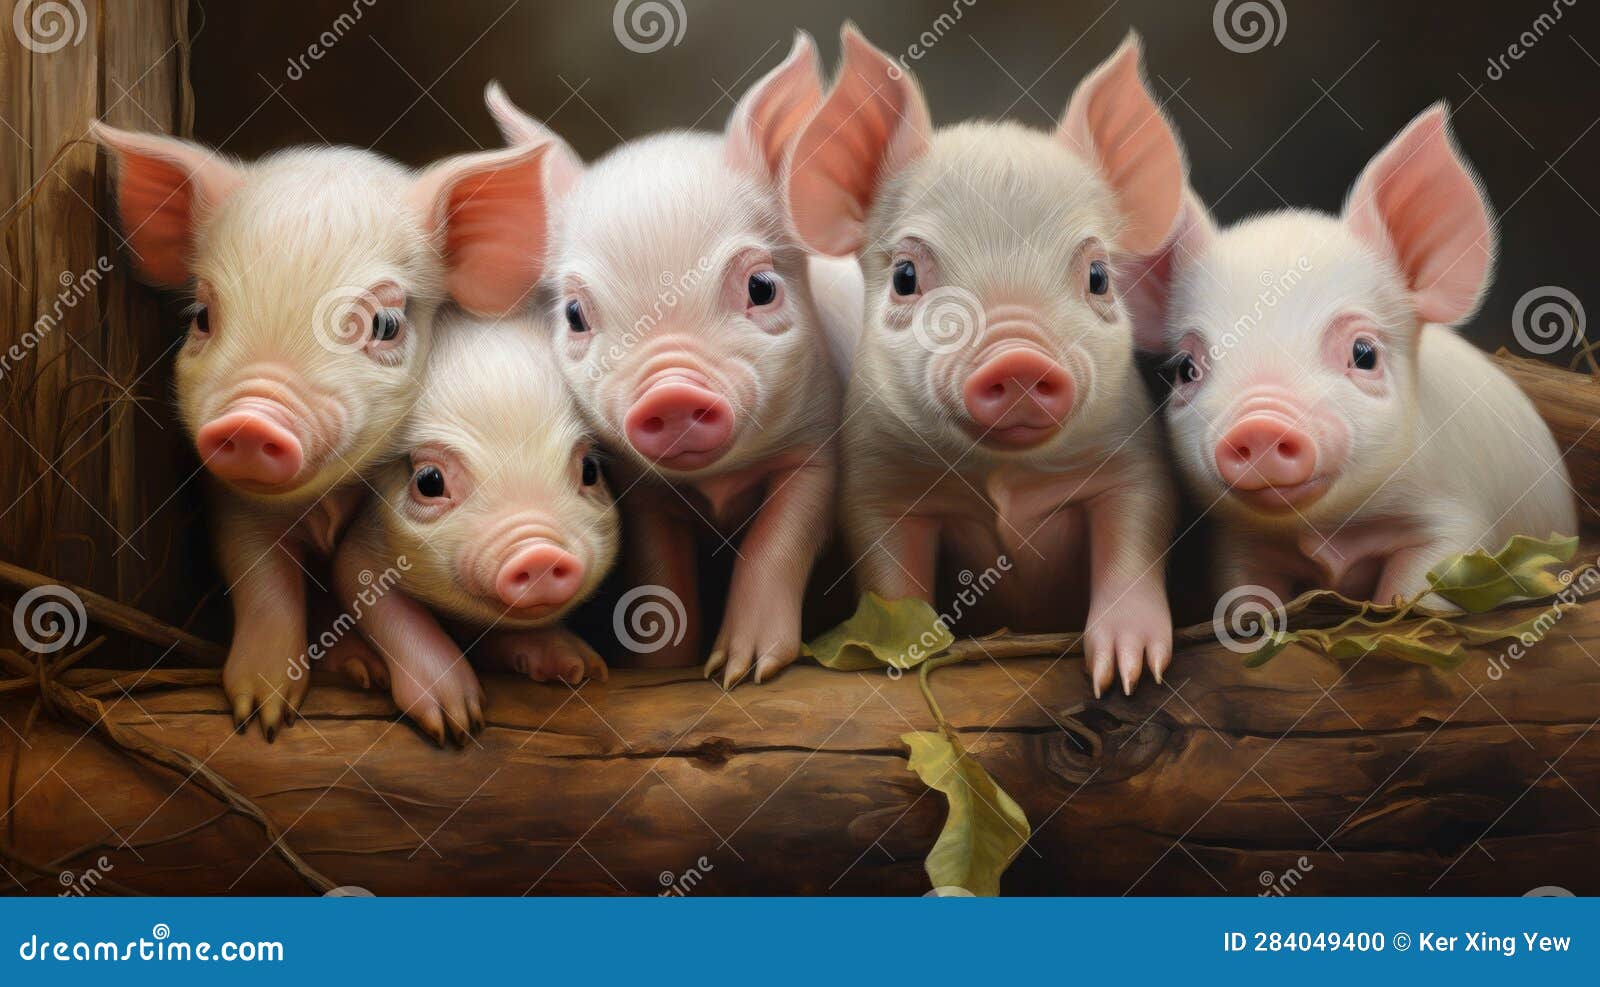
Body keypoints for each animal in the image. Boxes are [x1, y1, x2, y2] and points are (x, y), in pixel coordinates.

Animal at [91, 122, 573, 737]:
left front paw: (461, 725)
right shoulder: (234, 504)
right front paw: (263, 717)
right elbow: (260, 577)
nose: (252, 418)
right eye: (201, 316)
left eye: (385, 324)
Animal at [332, 312, 619, 744]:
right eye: (429, 481)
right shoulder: (362, 545)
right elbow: (372, 594)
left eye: (590, 470)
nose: (538, 551)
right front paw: (458, 724)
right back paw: (362, 671)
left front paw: (582, 669)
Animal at [485, 32, 840, 688]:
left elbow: (778, 541)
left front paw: (742, 673)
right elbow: (659, 572)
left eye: (761, 287)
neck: (717, 484)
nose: (671, 391)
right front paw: (659, 669)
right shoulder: (640, 487)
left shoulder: (818, 448)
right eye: (574, 314)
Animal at [784, 27, 1186, 697]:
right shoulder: (878, 484)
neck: (1005, 481)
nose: (1017, 357)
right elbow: (890, 568)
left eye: (1099, 276)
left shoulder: (1132, 460)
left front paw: (1128, 674)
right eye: (906, 276)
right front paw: (908, 652)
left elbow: (1135, 536)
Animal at [1148, 104, 1577, 605]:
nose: (1260, 422)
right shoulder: (1238, 541)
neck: (1333, 534)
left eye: (1364, 353)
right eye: (1186, 369)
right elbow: (1243, 591)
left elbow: (1417, 584)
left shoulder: (1459, 520)